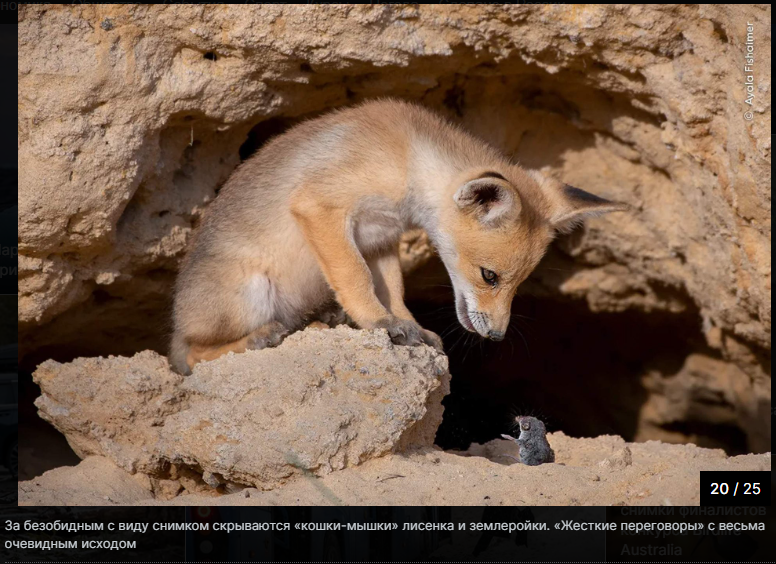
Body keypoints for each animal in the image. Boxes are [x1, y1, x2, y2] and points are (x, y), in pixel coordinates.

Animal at [168, 99, 624, 374]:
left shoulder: (380, 239)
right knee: (191, 355)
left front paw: (408, 326)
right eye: (490, 276)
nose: (495, 335)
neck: (407, 158)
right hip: (250, 293)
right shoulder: (321, 207)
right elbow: (355, 278)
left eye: (520, 284)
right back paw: (259, 338)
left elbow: (394, 290)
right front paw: (377, 322)